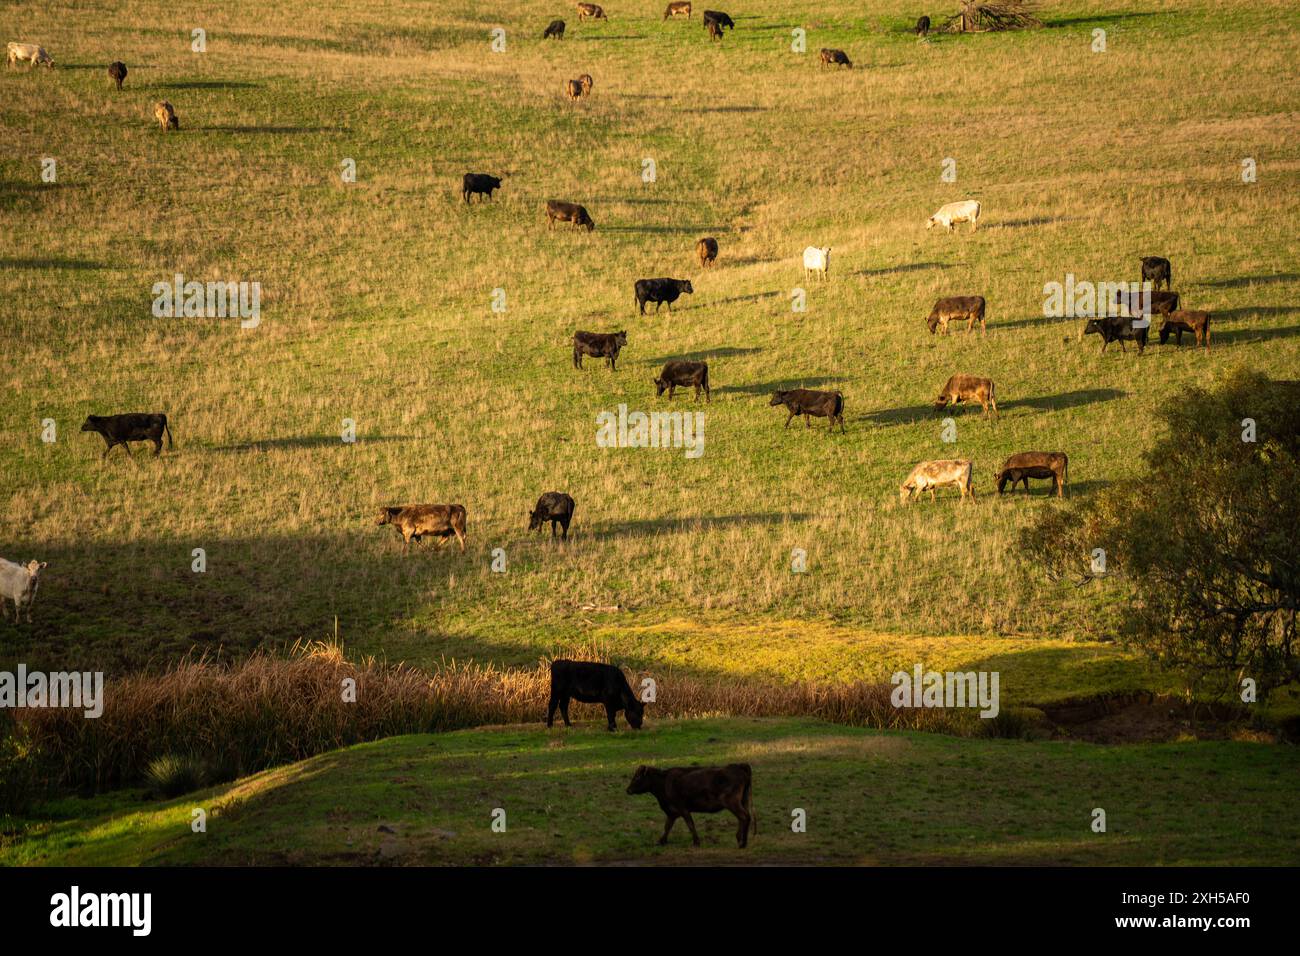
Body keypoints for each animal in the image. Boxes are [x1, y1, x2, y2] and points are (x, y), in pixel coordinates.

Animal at [627, 764, 756, 848]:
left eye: (637, 777)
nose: (628, 790)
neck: (664, 782)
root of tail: (738, 766)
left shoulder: (682, 808)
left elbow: (690, 824)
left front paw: (696, 842)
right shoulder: (672, 812)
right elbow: (667, 826)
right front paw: (661, 841)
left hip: (732, 802)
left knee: (744, 817)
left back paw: (742, 843)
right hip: (742, 801)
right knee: (744, 818)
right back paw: (741, 840)